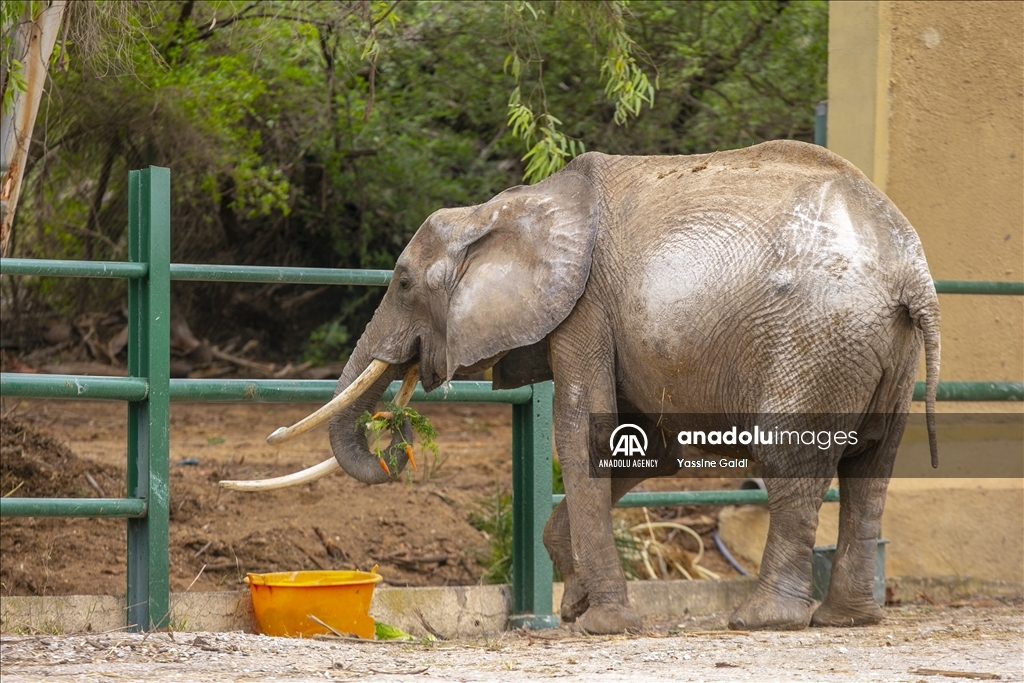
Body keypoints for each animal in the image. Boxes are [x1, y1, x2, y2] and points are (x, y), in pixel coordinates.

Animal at [221, 140, 940, 635]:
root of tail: (911, 267)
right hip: (882, 347)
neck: (509, 205)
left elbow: (582, 432)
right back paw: (847, 619)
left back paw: (762, 620)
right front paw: (574, 606)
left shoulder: (585, 308)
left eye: (401, 282)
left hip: (818, 338)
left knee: (793, 461)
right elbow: (645, 447)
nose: (396, 446)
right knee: (871, 468)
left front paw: (600, 625)